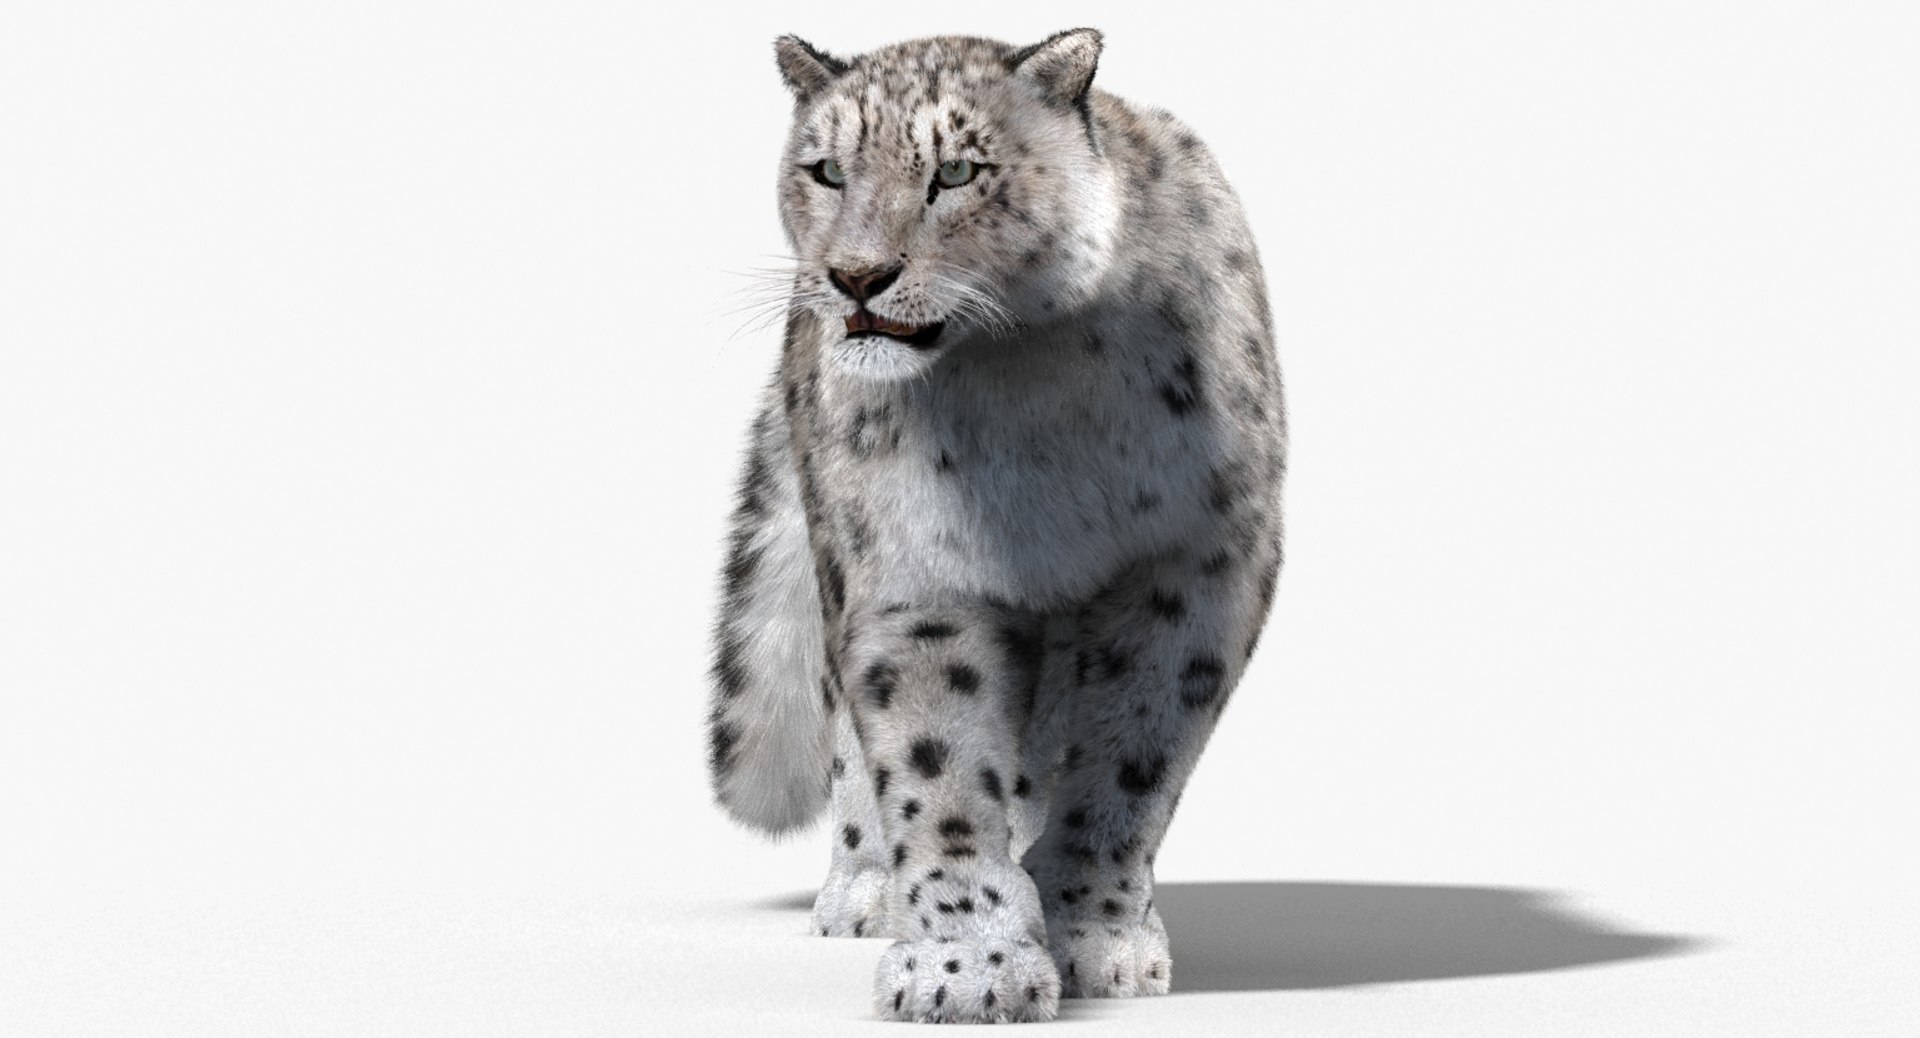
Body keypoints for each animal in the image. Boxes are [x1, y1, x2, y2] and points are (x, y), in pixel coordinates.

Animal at [704, 28, 1287, 1024]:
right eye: (827, 169)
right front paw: (969, 963)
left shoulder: (1193, 565)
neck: (1033, 391)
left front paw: (1097, 931)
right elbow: (934, 767)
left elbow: (1134, 757)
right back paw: (864, 890)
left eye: (957, 171)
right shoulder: (915, 570)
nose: (857, 278)